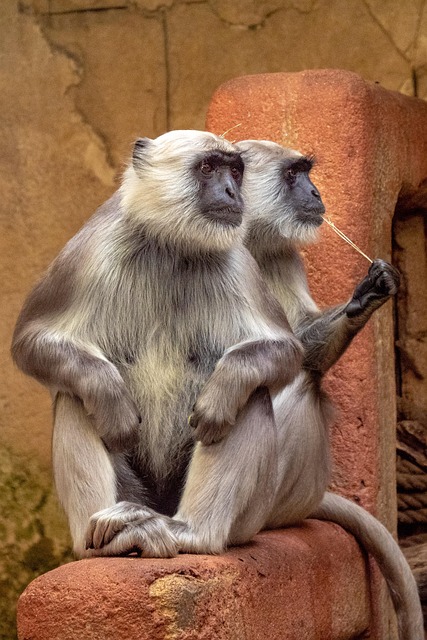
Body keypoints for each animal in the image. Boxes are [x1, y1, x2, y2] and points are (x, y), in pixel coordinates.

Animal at [12, 130, 304, 560]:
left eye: (236, 170)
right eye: (208, 167)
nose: (233, 192)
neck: (172, 245)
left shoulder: (238, 259)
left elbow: (284, 350)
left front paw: (222, 392)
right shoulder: (93, 246)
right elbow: (31, 340)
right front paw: (110, 399)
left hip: (252, 515)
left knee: (249, 394)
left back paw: (192, 533)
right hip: (135, 493)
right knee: (74, 394)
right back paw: (104, 541)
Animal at [234, 138, 423, 640]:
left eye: (306, 172)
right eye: (293, 175)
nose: (317, 192)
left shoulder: (280, 254)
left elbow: (299, 345)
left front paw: (367, 295)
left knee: (299, 378)